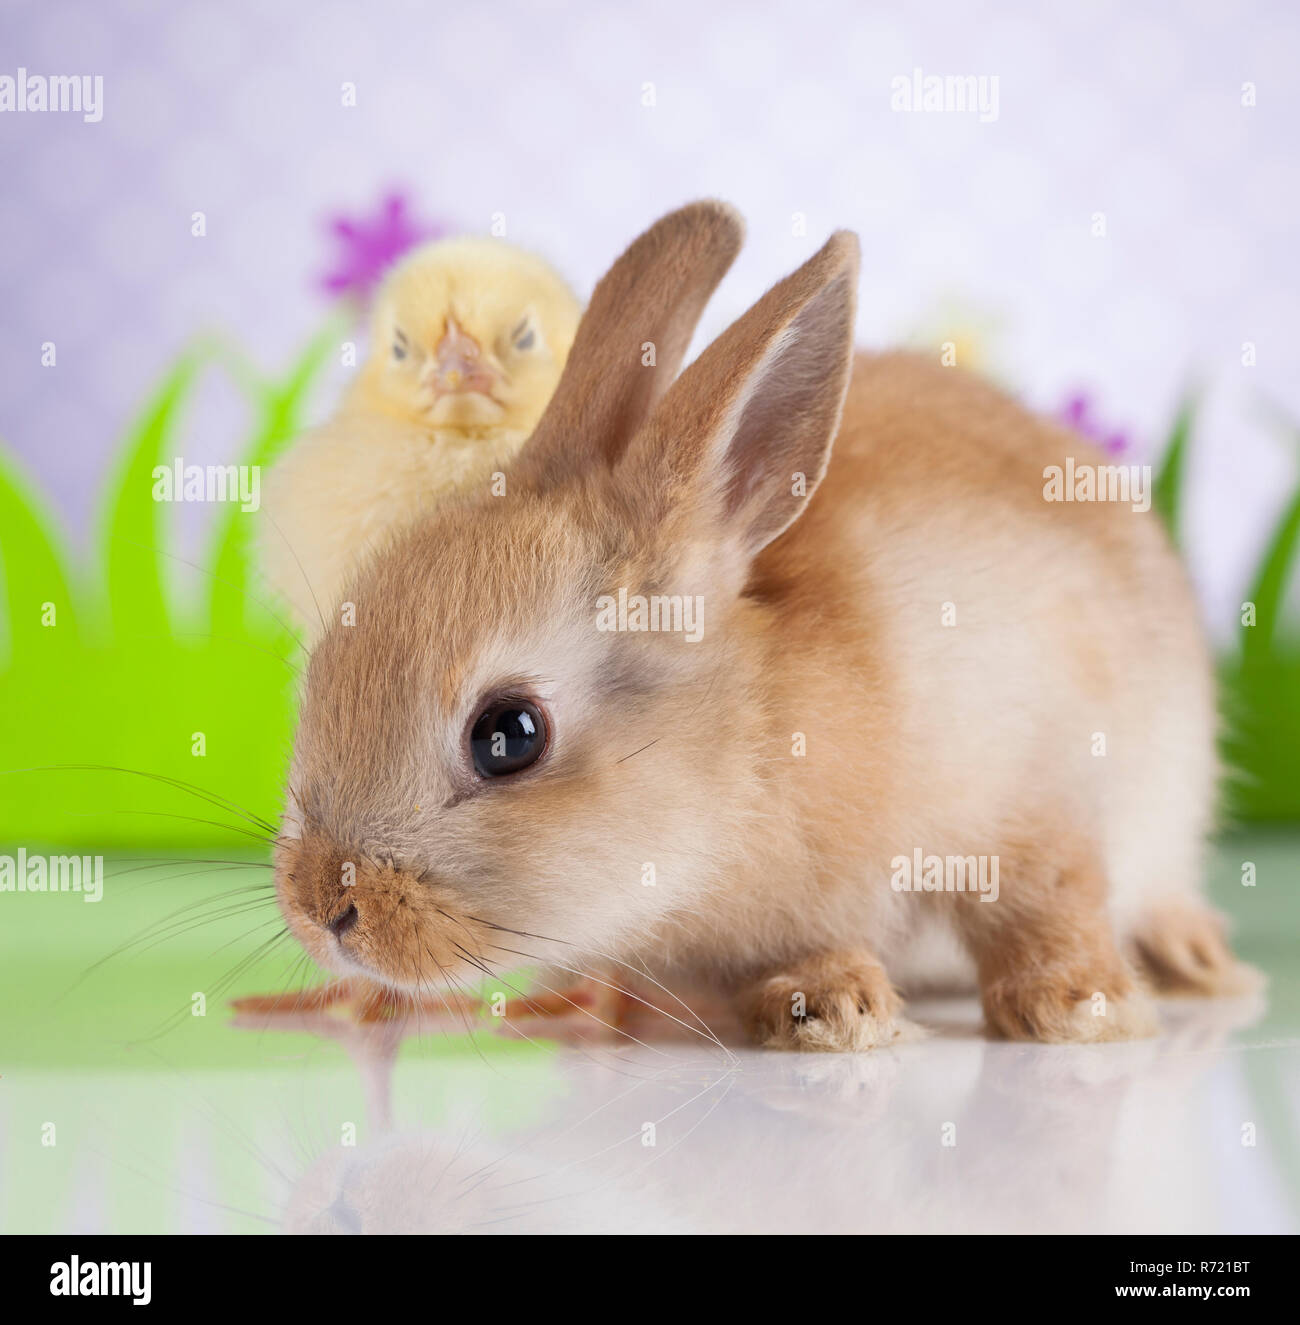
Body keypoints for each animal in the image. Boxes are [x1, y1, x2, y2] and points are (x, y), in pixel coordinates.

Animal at [260, 199, 1259, 1051]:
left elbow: (1048, 901)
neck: (750, 747)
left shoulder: (1034, 786)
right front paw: (833, 1007)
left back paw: (1194, 958)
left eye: (508, 735)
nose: (323, 908)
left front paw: (1080, 1008)